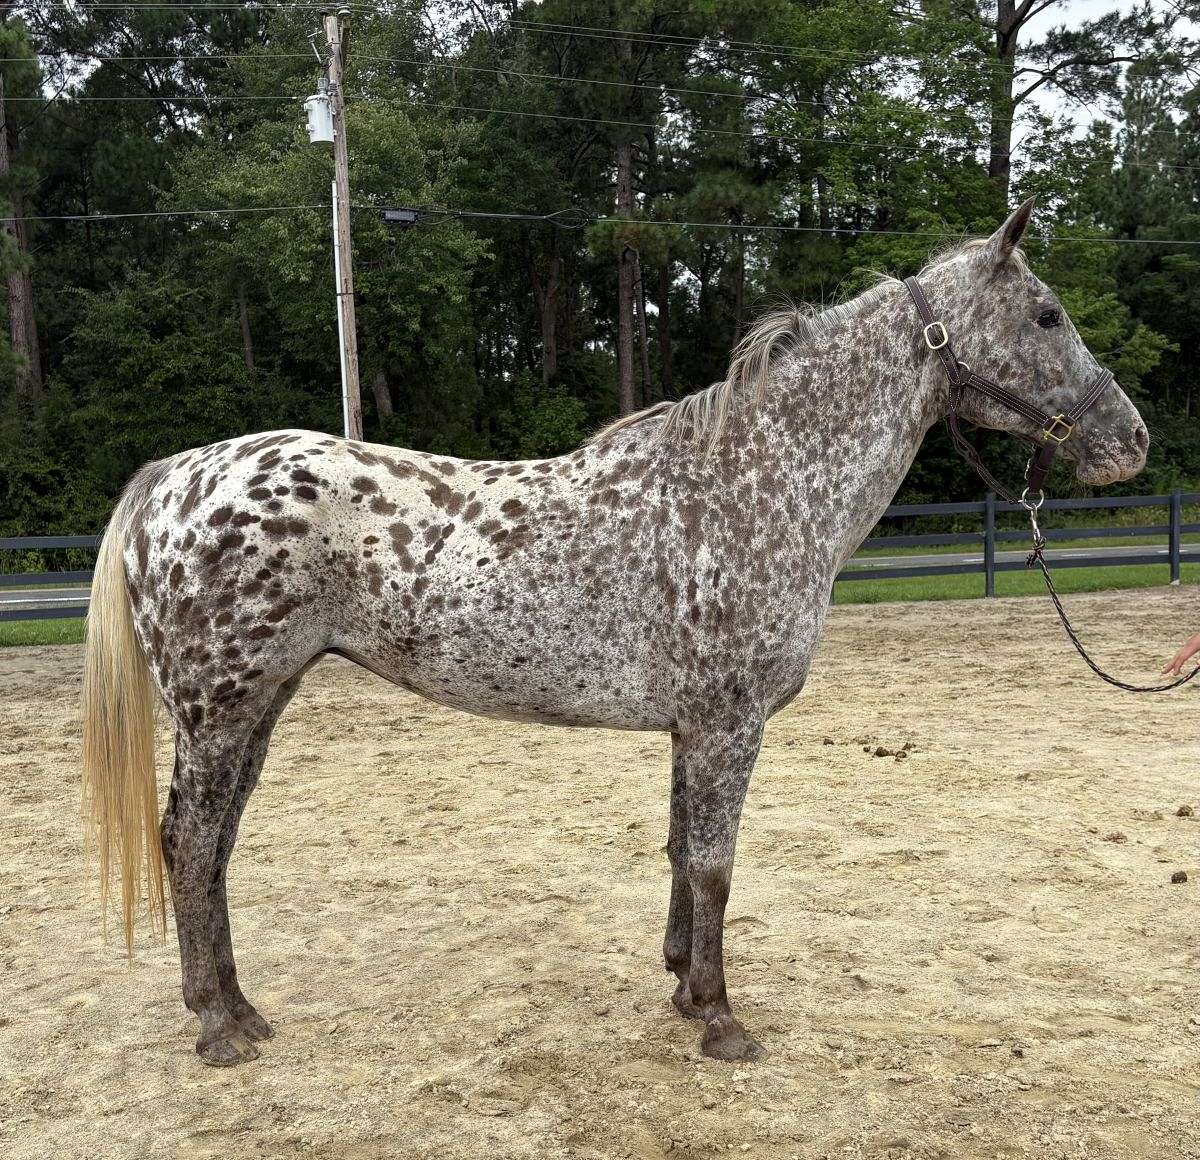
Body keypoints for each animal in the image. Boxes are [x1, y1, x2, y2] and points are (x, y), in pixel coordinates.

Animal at [81, 198, 1149, 1067]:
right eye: (1047, 314)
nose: (1131, 440)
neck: (757, 486)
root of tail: (175, 477)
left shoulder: (693, 727)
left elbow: (681, 854)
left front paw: (681, 985)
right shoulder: (727, 723)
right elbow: (715, 864)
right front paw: (720, 1019)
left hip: (259, 706)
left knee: (212, 847)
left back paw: (239, 1009)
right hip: (221, 713)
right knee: (191, 841)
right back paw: (218, 1027)